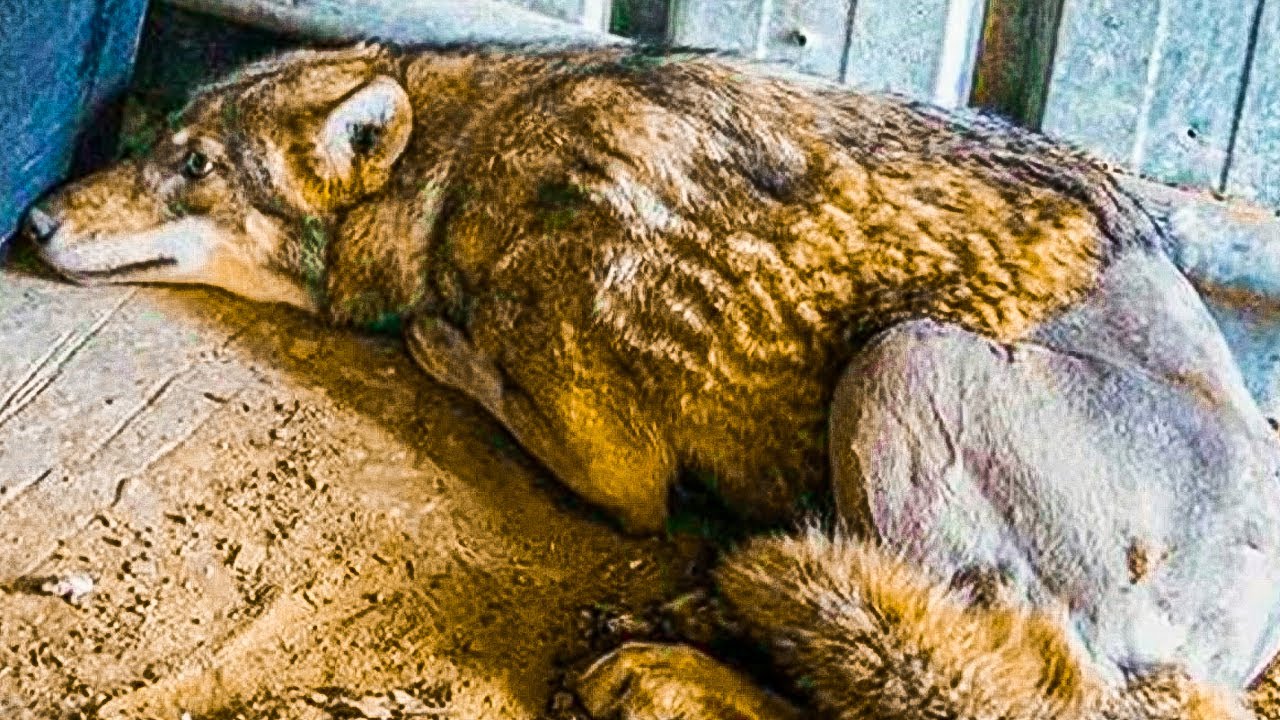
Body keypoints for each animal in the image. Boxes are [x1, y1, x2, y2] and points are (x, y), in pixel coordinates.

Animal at [20, 43, 1280, 718]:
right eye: (156, 141)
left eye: (193, 165)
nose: (29, 219)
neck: (462, 159)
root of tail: (1227, 650)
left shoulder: (609, 463)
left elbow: (448, 345)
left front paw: (431, 330)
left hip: (899, 362)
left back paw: (672, 664)